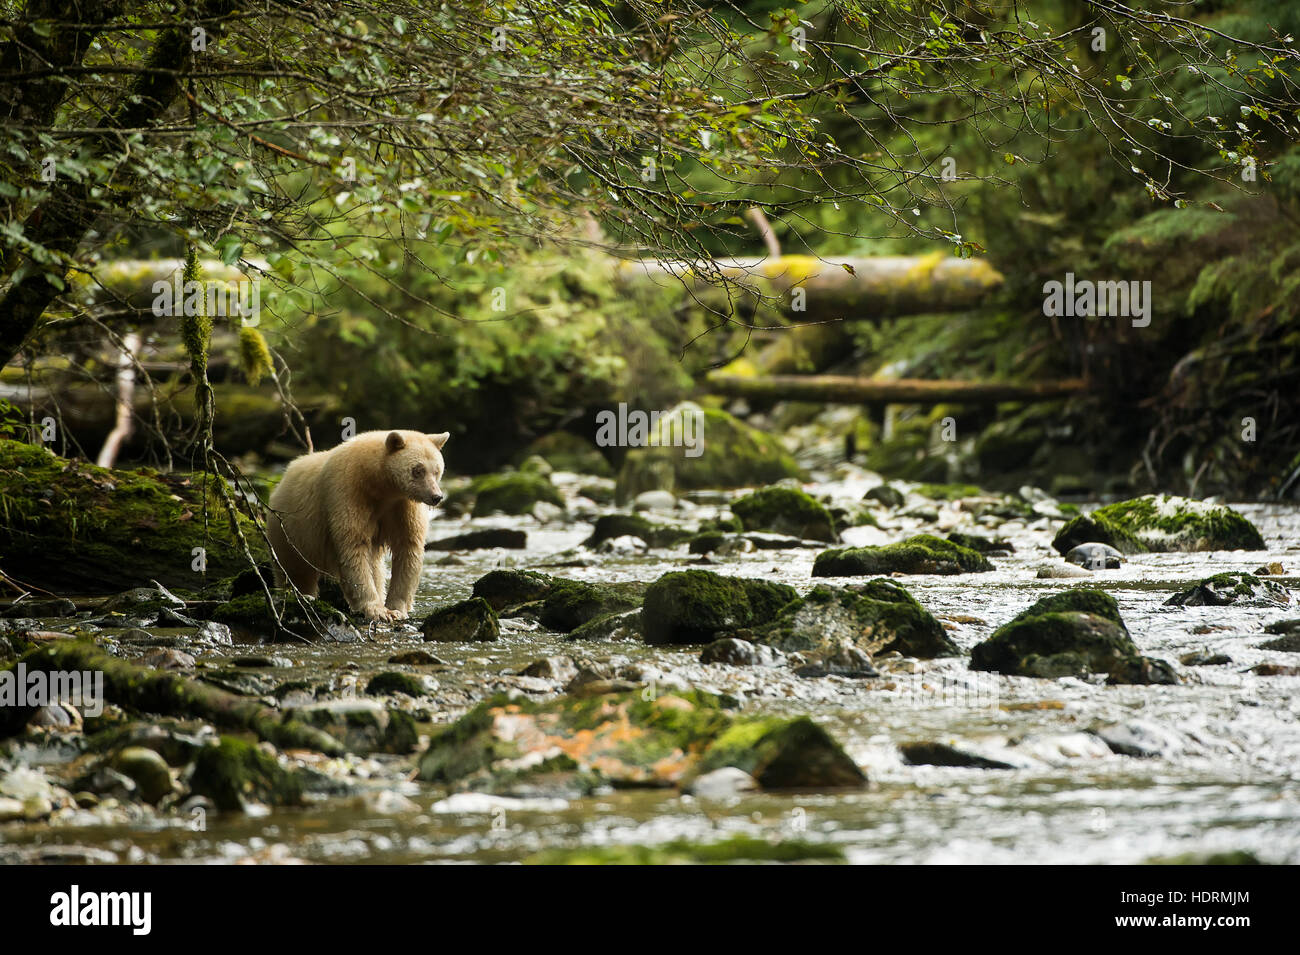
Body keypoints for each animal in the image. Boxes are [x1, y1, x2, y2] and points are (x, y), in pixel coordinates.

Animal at [267, 430, 449, 622]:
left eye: (437, 470)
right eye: (418, 470)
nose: (436, 496)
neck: (380, 484)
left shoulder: (403, 506)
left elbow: (408, 547)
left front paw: (396, 609)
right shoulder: (348, 493)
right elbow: (353, 546)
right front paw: (377, 610)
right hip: (291, 531)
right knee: (294, 569)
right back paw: (298, 594)